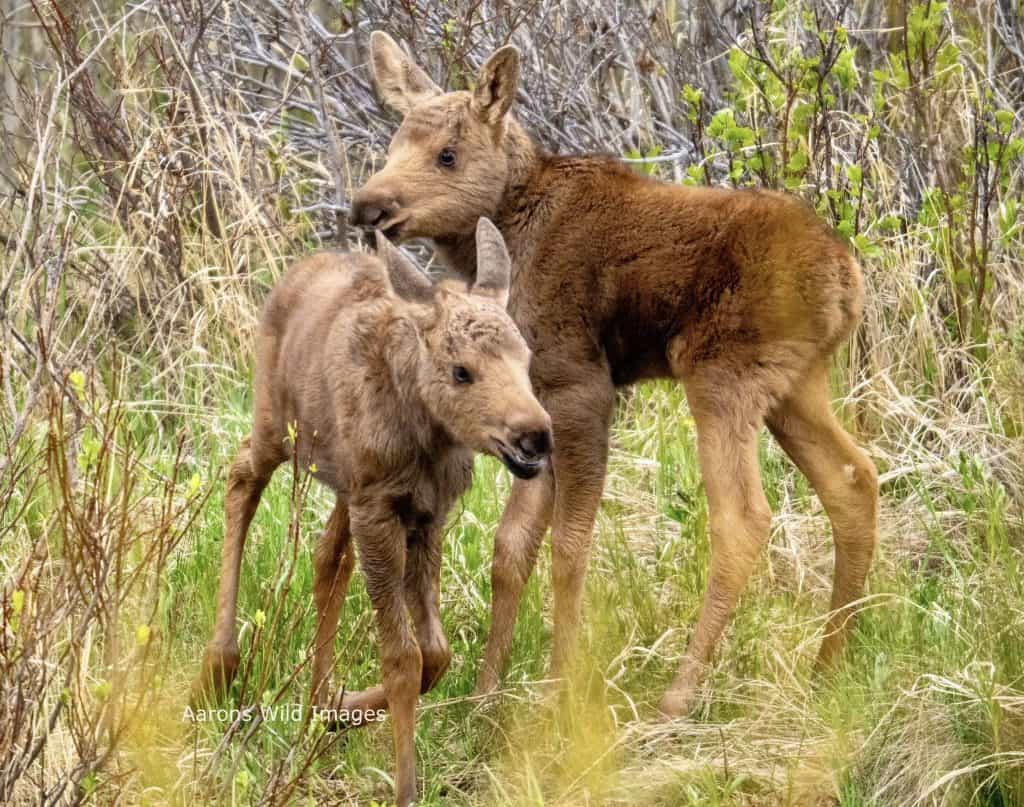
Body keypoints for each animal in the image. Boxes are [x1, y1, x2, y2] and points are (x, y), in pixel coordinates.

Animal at [191, 220, 552, 807]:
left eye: (525, 359)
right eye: (462, 372)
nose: (534, 435)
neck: (428, 436)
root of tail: (295, 272)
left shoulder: (426, 513)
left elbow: (436, 652)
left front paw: (341, 709)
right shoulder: (380, 510)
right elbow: (404, 658)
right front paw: (405, 785)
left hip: (344, 482)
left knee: (326, 559)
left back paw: (318, 701)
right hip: (276, 426)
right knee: (240, 477)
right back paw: (221, 662)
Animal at [350, 32, 879, 719]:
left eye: (447, 154)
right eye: (393, 144)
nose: (367, 205)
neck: (512, 231)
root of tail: (847, 280)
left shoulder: (581, 383)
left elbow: (569, 547)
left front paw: (557, 689)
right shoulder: (537, 399)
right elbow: (509, 548)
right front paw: (486, 692)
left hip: (722, 374)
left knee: (743, 518)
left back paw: (678, 696)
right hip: (796, 384)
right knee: (854, 479)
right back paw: (825, 669)